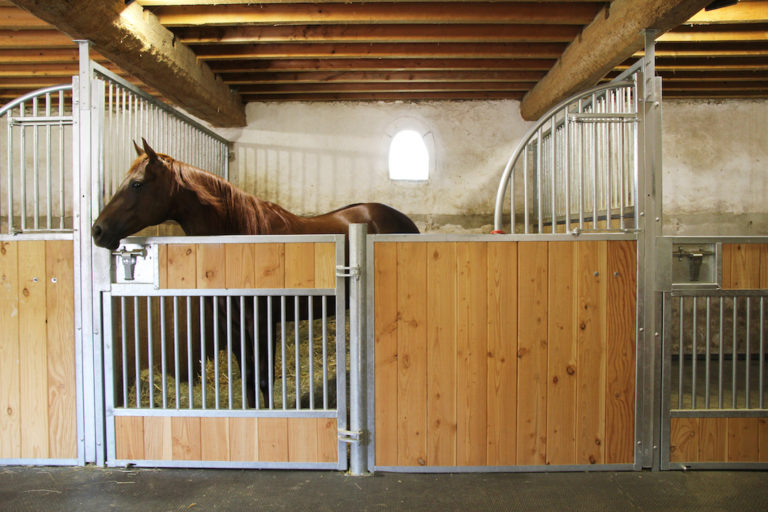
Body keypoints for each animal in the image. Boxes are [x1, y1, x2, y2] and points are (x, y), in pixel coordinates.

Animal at [92, 138, 419, 408]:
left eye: (136, 184)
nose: (98, 230)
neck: (244, 236)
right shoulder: (234, 324)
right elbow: (248, 378)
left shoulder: (261, 320)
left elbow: (263, 376)